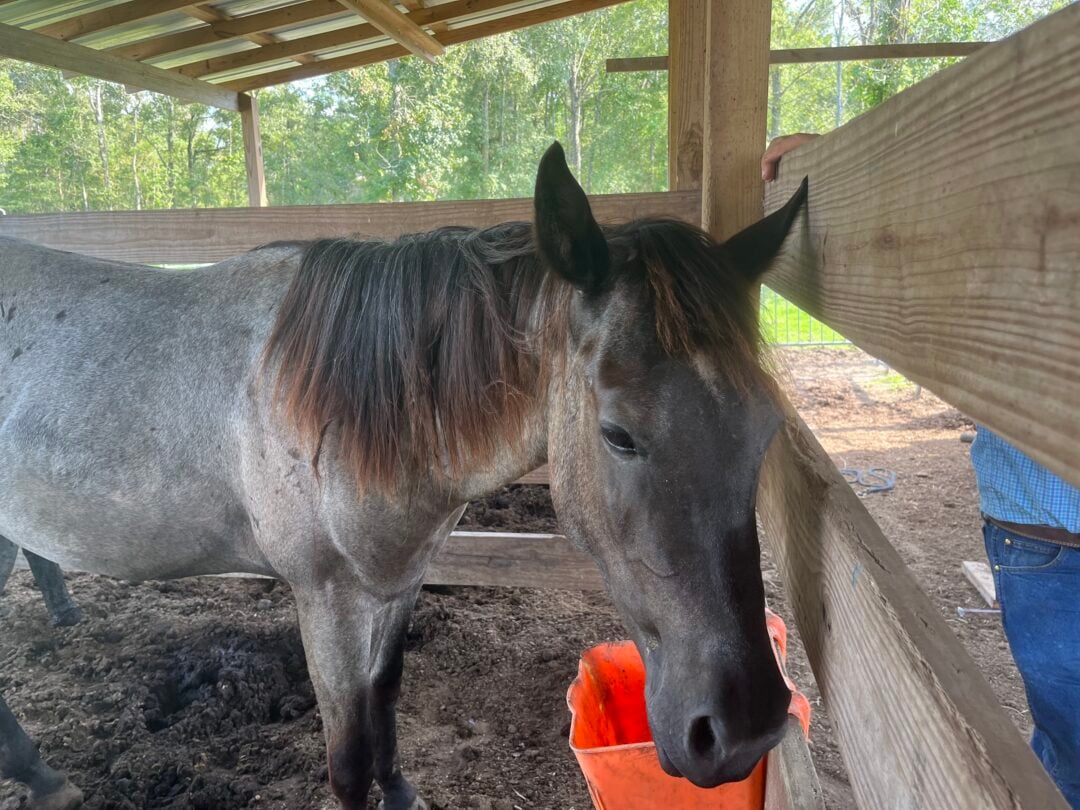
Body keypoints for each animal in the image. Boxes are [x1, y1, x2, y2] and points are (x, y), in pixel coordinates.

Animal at [0, 142, 807, 810]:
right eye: (617, 434)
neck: (346, 405)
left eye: (766, 428)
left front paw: (403, 793)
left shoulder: (398, 579)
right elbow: (349, 756)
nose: (741, 730)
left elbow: (384, 697)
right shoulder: (326, 597)